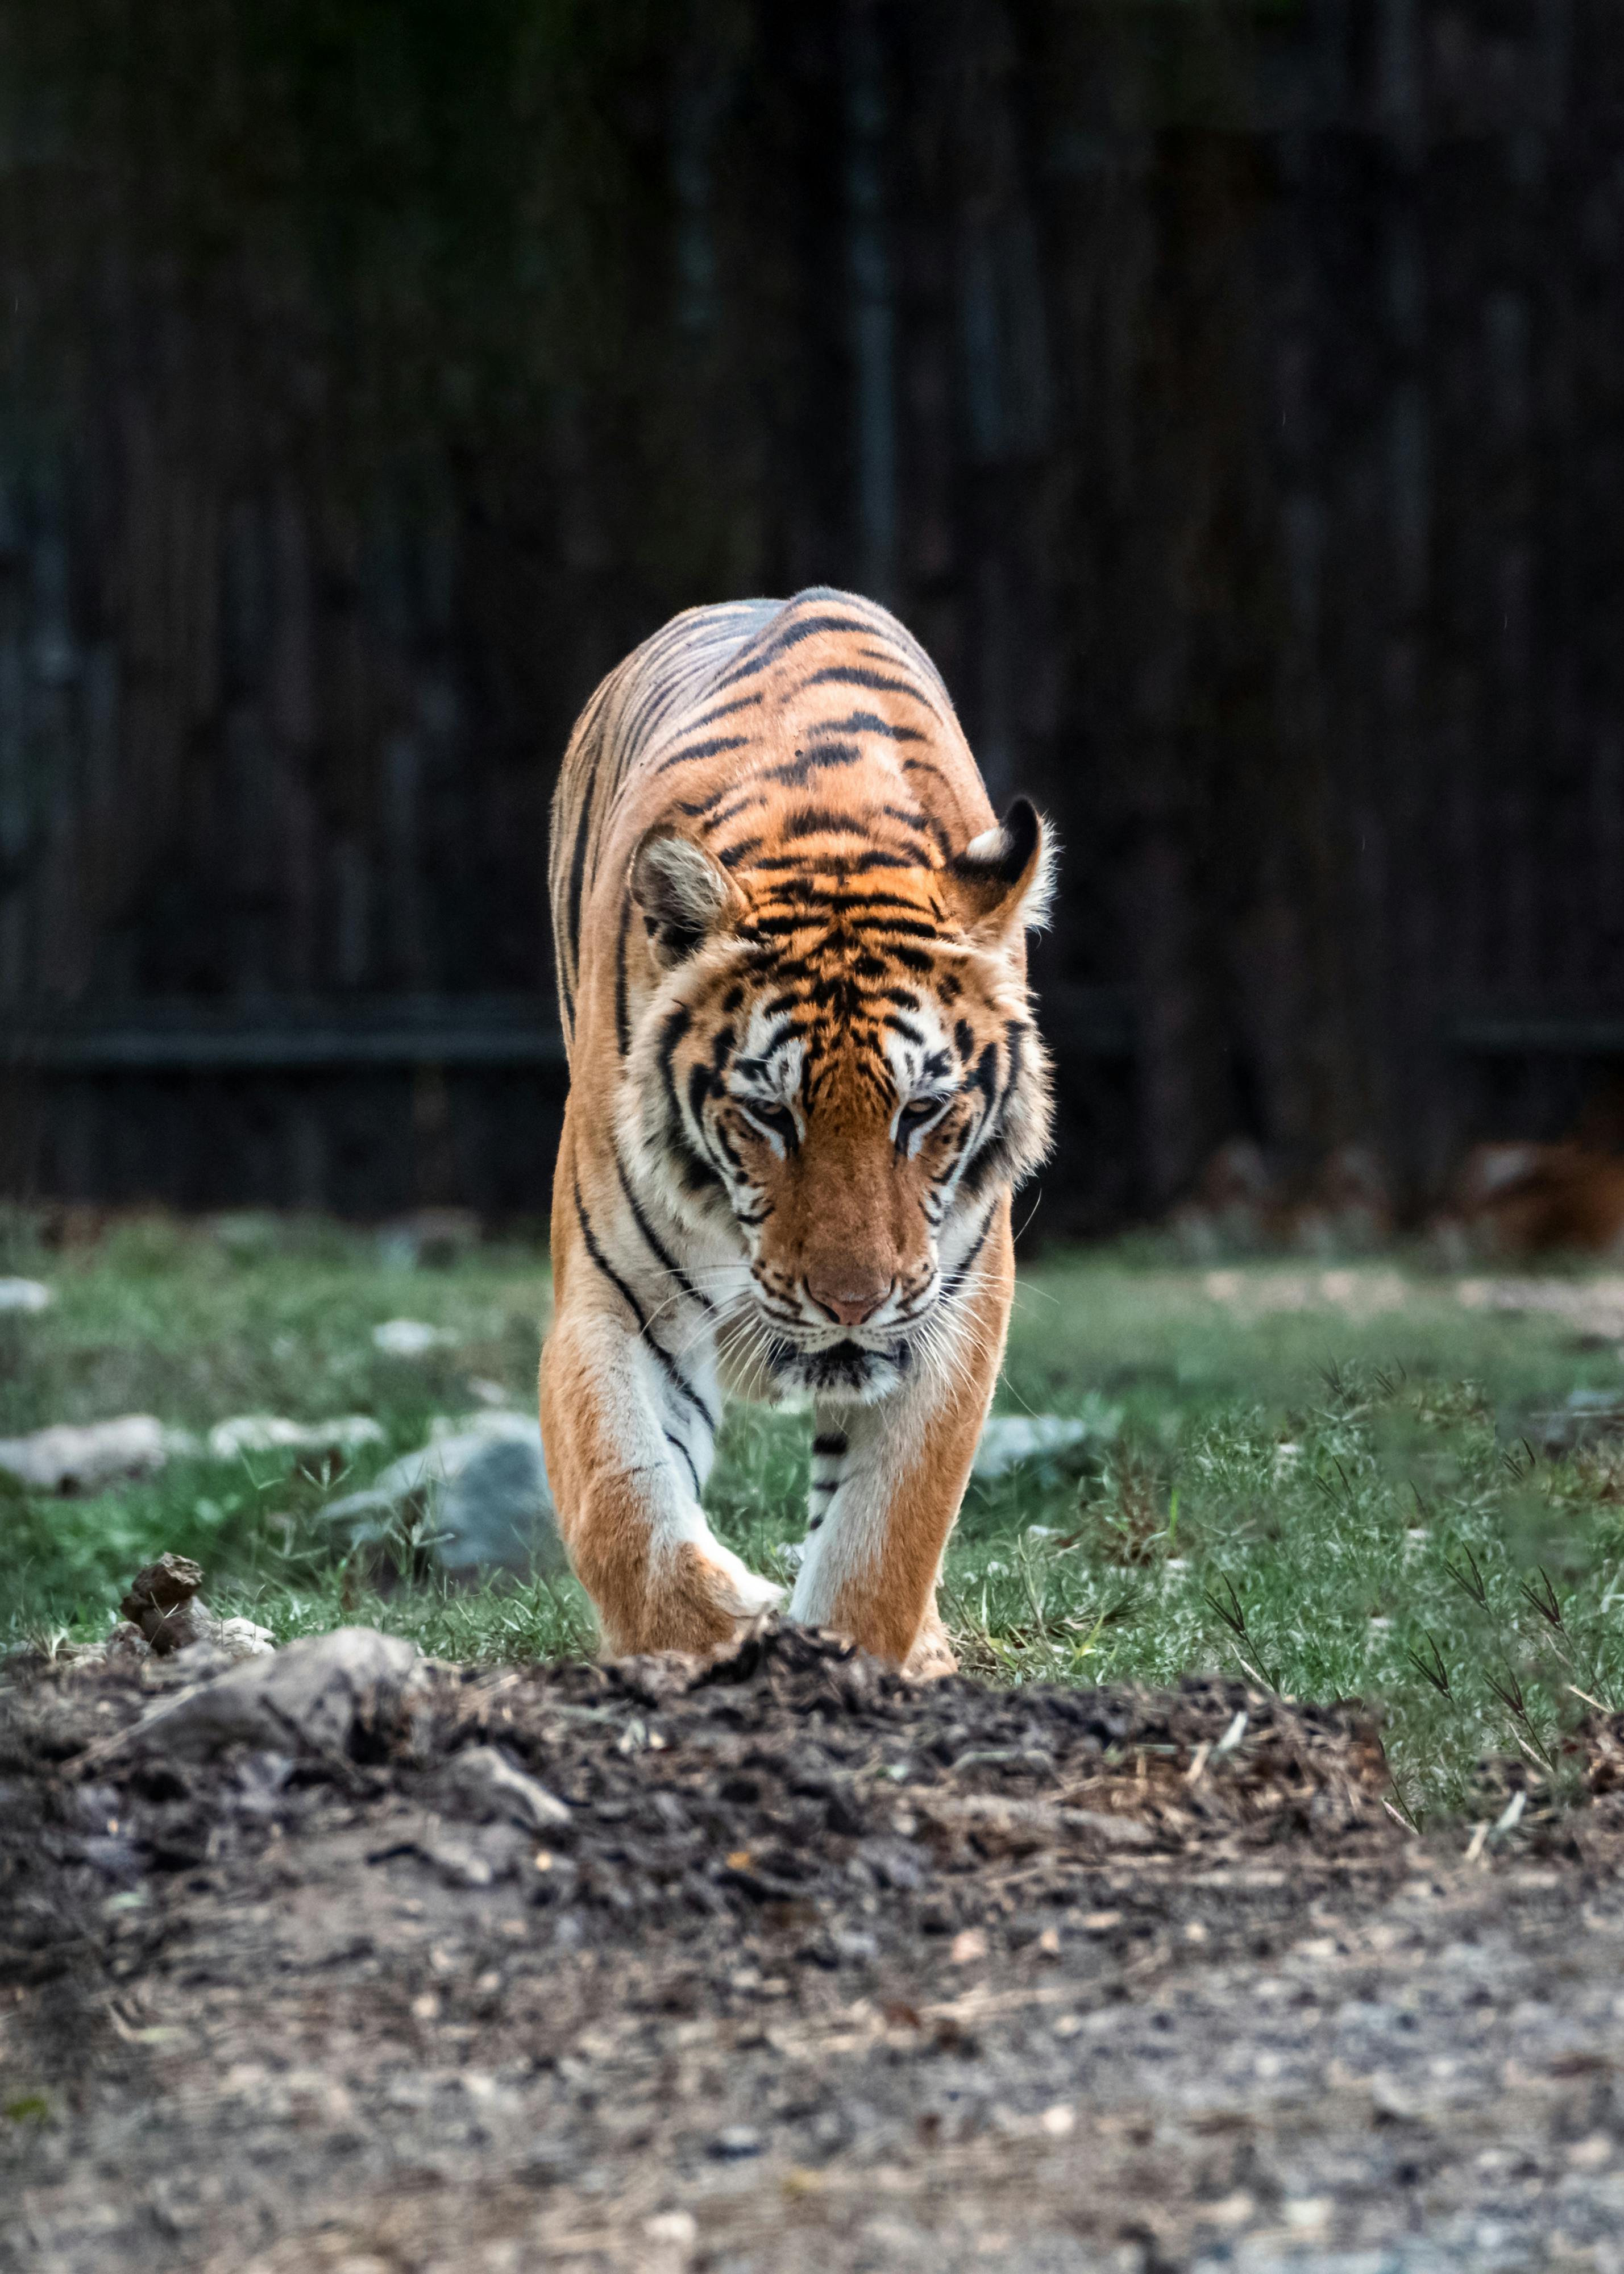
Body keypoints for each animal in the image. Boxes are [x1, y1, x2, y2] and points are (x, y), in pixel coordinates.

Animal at [540, 587, 1053, 1673]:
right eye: (769, 1114)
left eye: (921, 1110)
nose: (851, 1306)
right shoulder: (611, 1297)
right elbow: (622, 1508)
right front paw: (713, 1634)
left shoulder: (955, 1301)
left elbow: (887, 1537)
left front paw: (849, 1657)